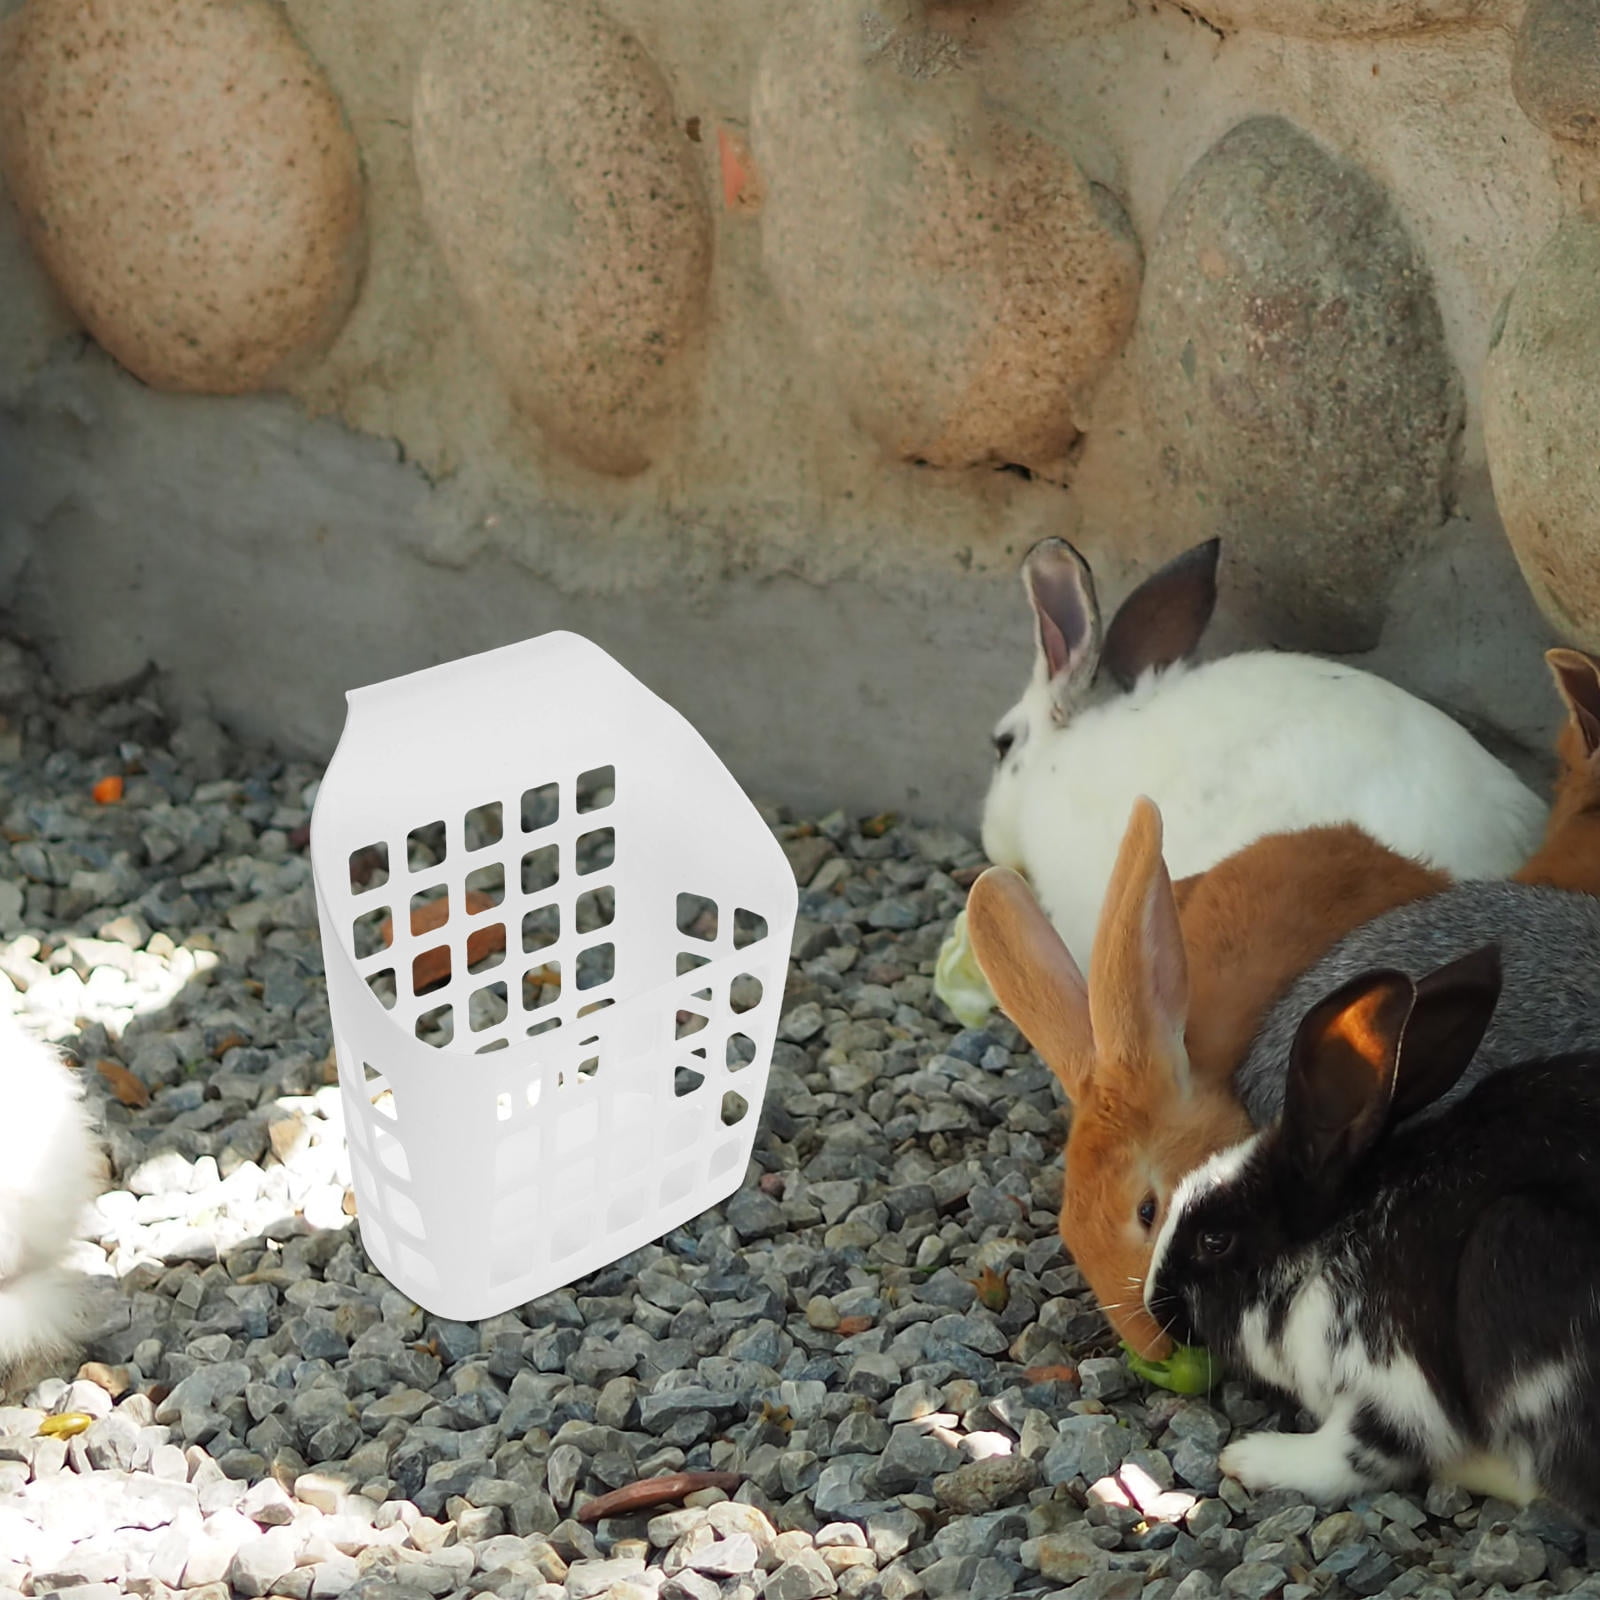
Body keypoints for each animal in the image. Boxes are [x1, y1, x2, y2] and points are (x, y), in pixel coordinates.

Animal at [1145, 946, 1600, 1517]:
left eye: (1214, 1242)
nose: (1155, 1307)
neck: (1322, 1255)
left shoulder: (1397, 1385)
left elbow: (1350, 1456)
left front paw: (1250, 1459)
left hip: (1514, 1249)